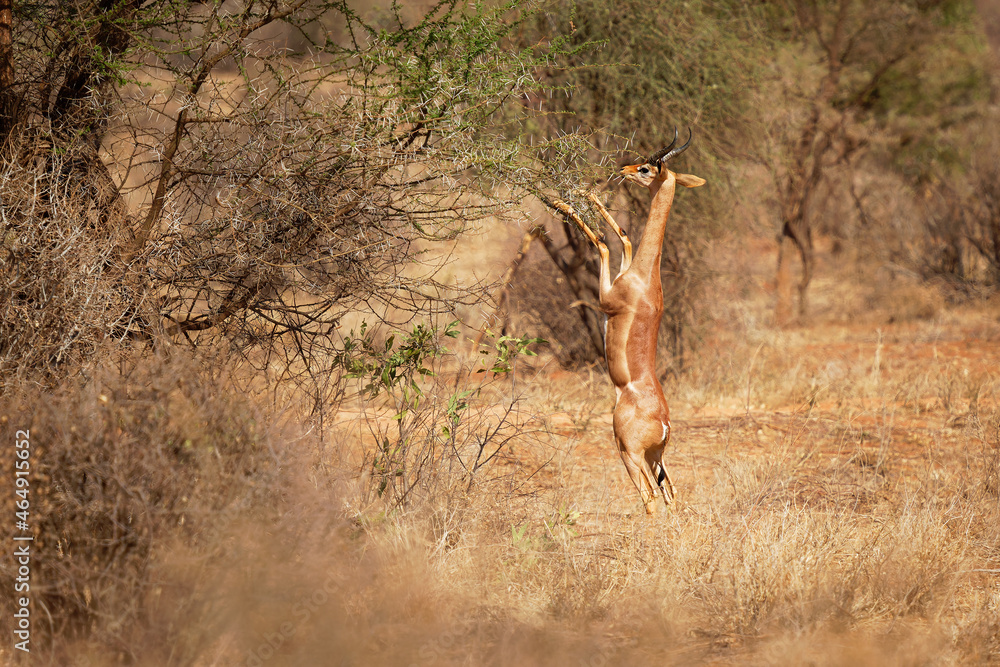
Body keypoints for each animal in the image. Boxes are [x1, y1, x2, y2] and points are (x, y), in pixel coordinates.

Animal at [556, 129, 705, 514]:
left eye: (646, 168)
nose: (622, 169)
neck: (643, 277)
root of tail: (664, 424)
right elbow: (622, 236)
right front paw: (581, 194)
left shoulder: (605, 300)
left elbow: (604, 244)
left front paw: (563, 202)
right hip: (656, 459)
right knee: (672, 495)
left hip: (630, 454)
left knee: (650, 499)